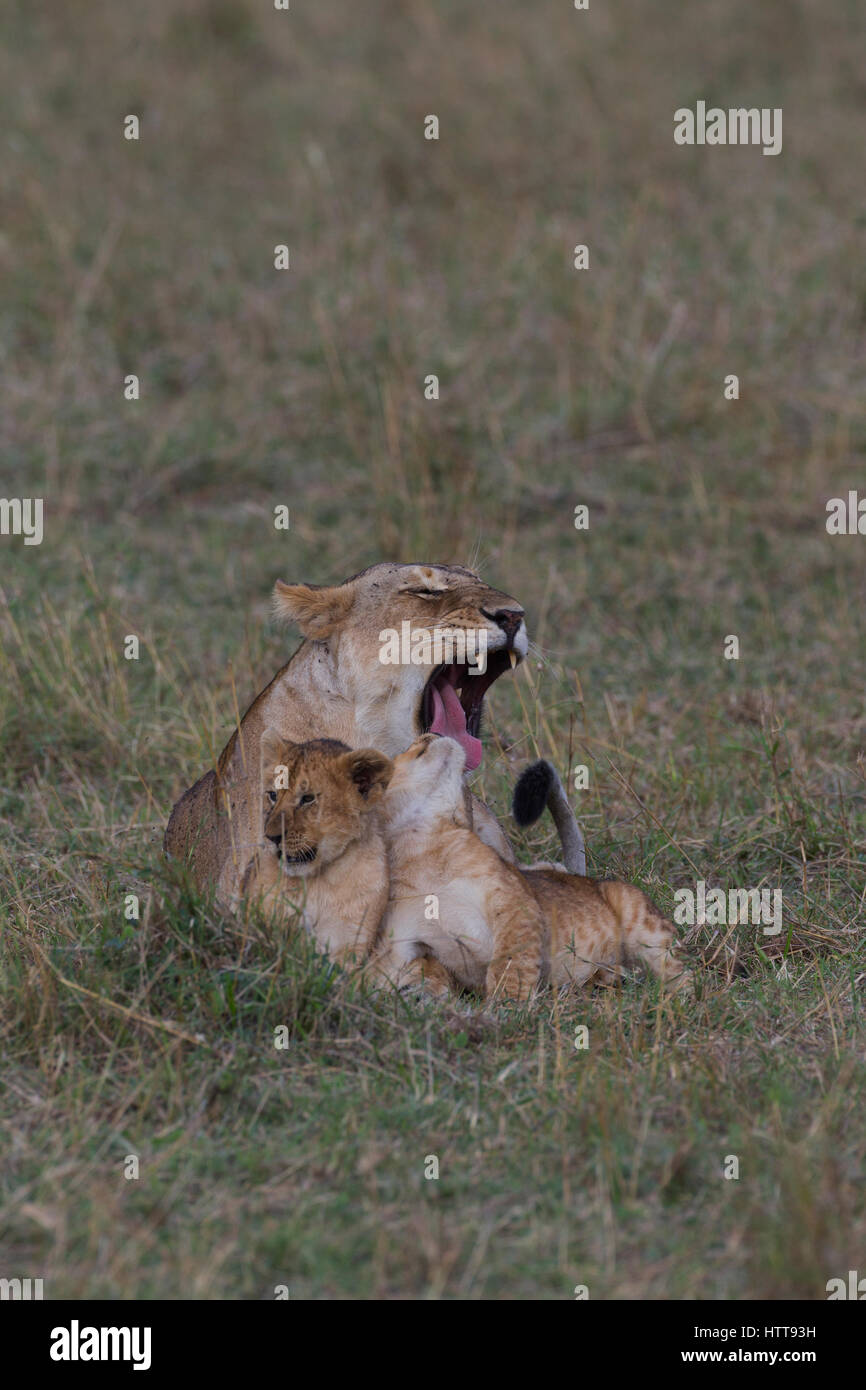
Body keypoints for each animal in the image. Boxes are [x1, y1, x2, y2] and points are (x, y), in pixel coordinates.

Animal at [370, 735, 690, 1003]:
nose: (431, 734)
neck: (425, 844)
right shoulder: (399, 937)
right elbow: (384, 967)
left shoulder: (515, 901)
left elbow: (511, 957)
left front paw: (506, 1007)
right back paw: (606, 979)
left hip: (640, 919)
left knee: (678, 969)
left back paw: (680, 997)